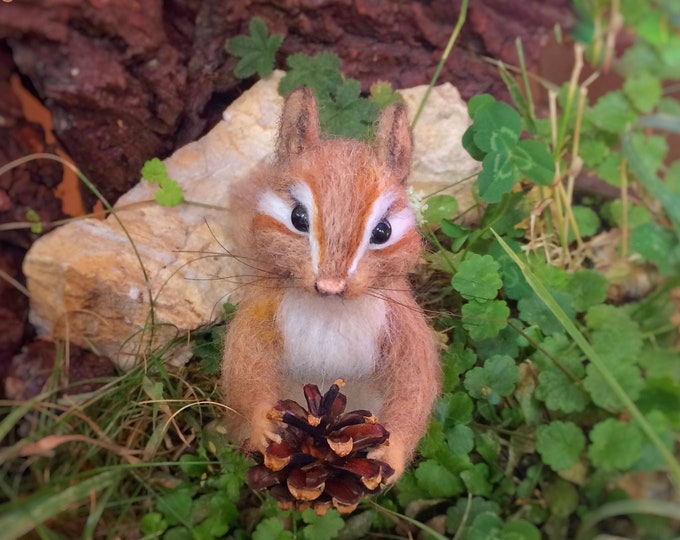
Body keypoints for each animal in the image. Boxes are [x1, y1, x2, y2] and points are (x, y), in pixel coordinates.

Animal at [221, 87, 441, 482]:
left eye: (383, 232)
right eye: (298, 217)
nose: (330, 284)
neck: (330, 308)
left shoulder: (401, 322)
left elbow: (414, 383)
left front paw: (391, 454)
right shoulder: (262, 310)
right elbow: (247, 366)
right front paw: (265, 427)